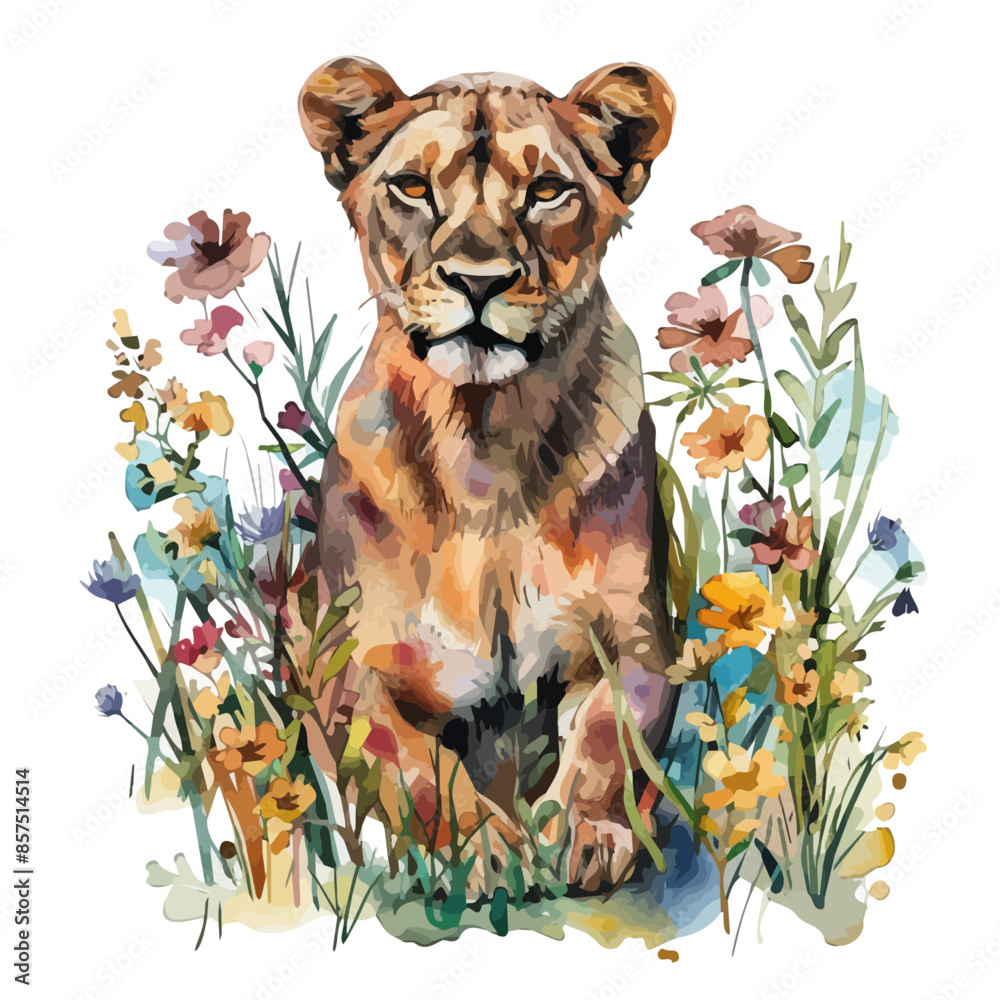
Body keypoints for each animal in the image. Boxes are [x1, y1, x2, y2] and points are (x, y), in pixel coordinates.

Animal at [297, 56, 678, 894]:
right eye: (412, 186)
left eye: (547, 190)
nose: (478, 282)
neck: (483, 448)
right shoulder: (345, 668)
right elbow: (412, 761)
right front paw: (480, 848)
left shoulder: (639, 644)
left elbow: (607, 735)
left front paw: (586, 832)